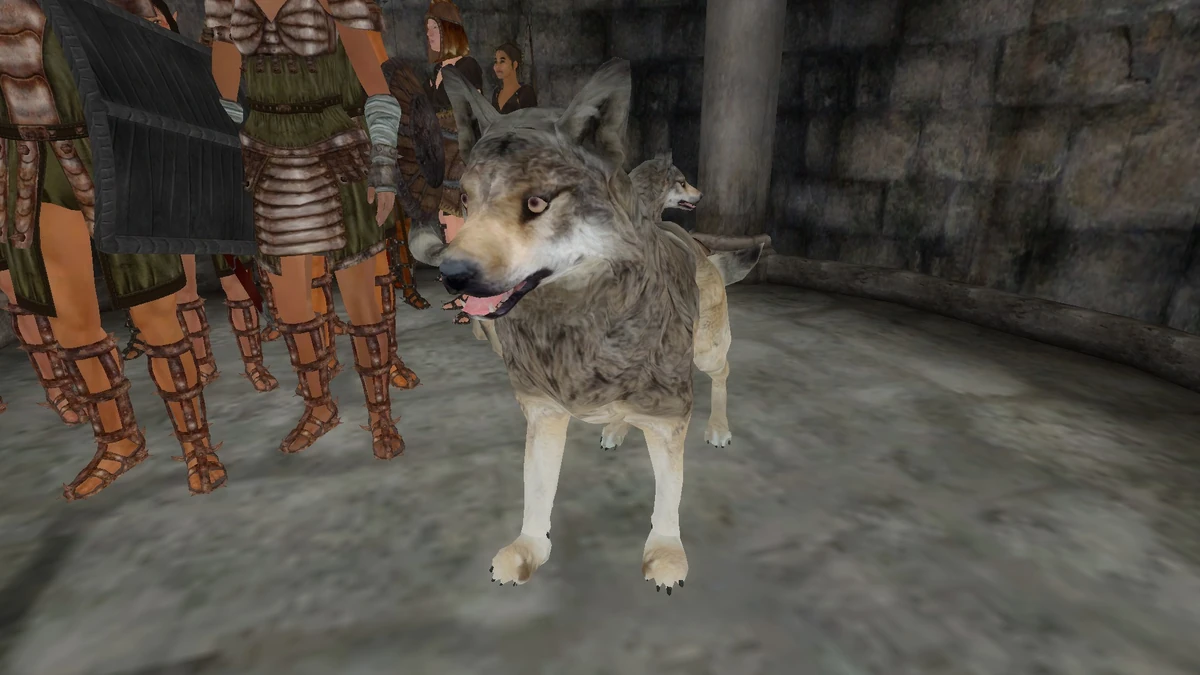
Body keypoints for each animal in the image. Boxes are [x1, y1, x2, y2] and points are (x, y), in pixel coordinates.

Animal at [431, 59, 761, 592]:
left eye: (537, 203)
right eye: (466, 199)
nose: (450, 275)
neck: (575, 321)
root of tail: (695, 243)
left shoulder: (669, 414)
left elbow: (669, 492)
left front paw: (666, 553)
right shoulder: (543, 412)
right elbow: (536, 488)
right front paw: (529, 546)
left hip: (708, 350)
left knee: (723, 375)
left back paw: (717, 427)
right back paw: (616, 429)